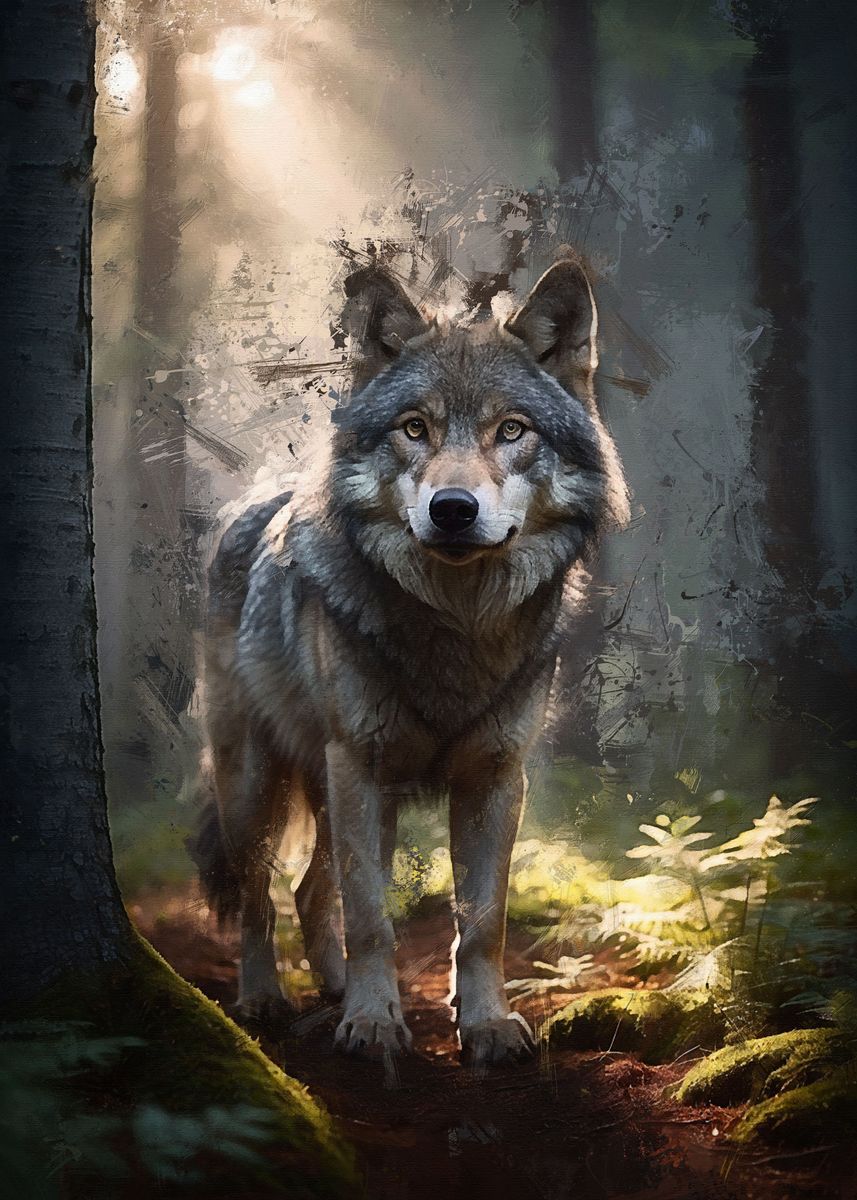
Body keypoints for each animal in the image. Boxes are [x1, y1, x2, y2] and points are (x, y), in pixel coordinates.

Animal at [192, 258, 629, 1066]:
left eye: (510, 430)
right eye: (414, 428)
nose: (452, 508)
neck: (454, 625)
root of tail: (255, 499)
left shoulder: (495, 777)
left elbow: (482, 923)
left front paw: (485, 1025)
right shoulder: (360, 769)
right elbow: (372, 917)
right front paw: (373, 1025)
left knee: (309, 891)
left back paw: (331, 989)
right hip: (258, 784)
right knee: (258, 897)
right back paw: (264, 999)